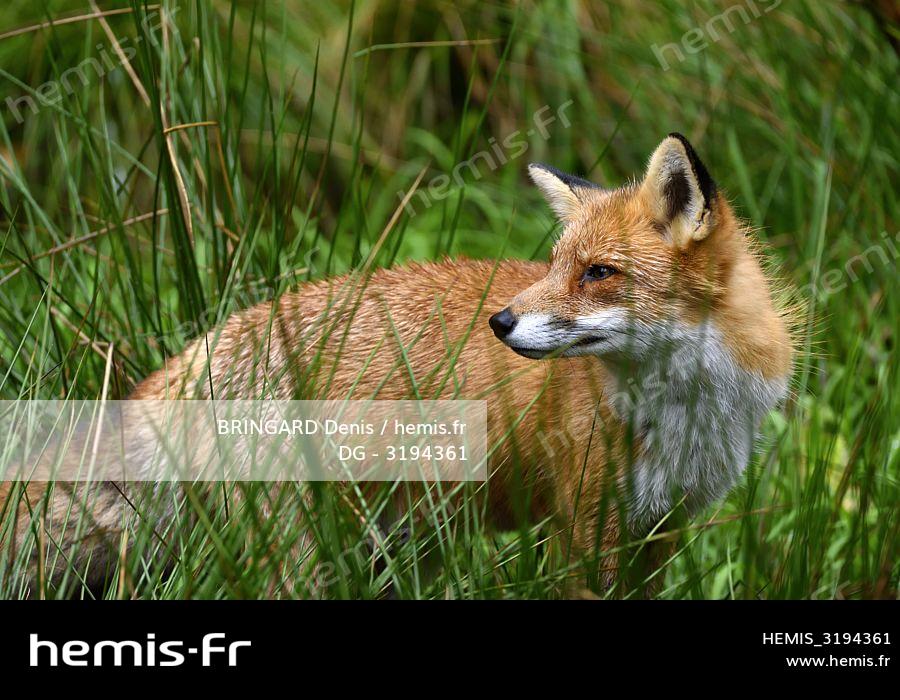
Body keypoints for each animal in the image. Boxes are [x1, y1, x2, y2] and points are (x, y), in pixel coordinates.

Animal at [0, 133, 793, 596]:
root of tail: (213, 342)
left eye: (599, 272)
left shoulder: (661, 528)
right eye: (555, 266)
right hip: (305, 557)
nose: (501, 322)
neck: (682, 411)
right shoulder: (584, 525)